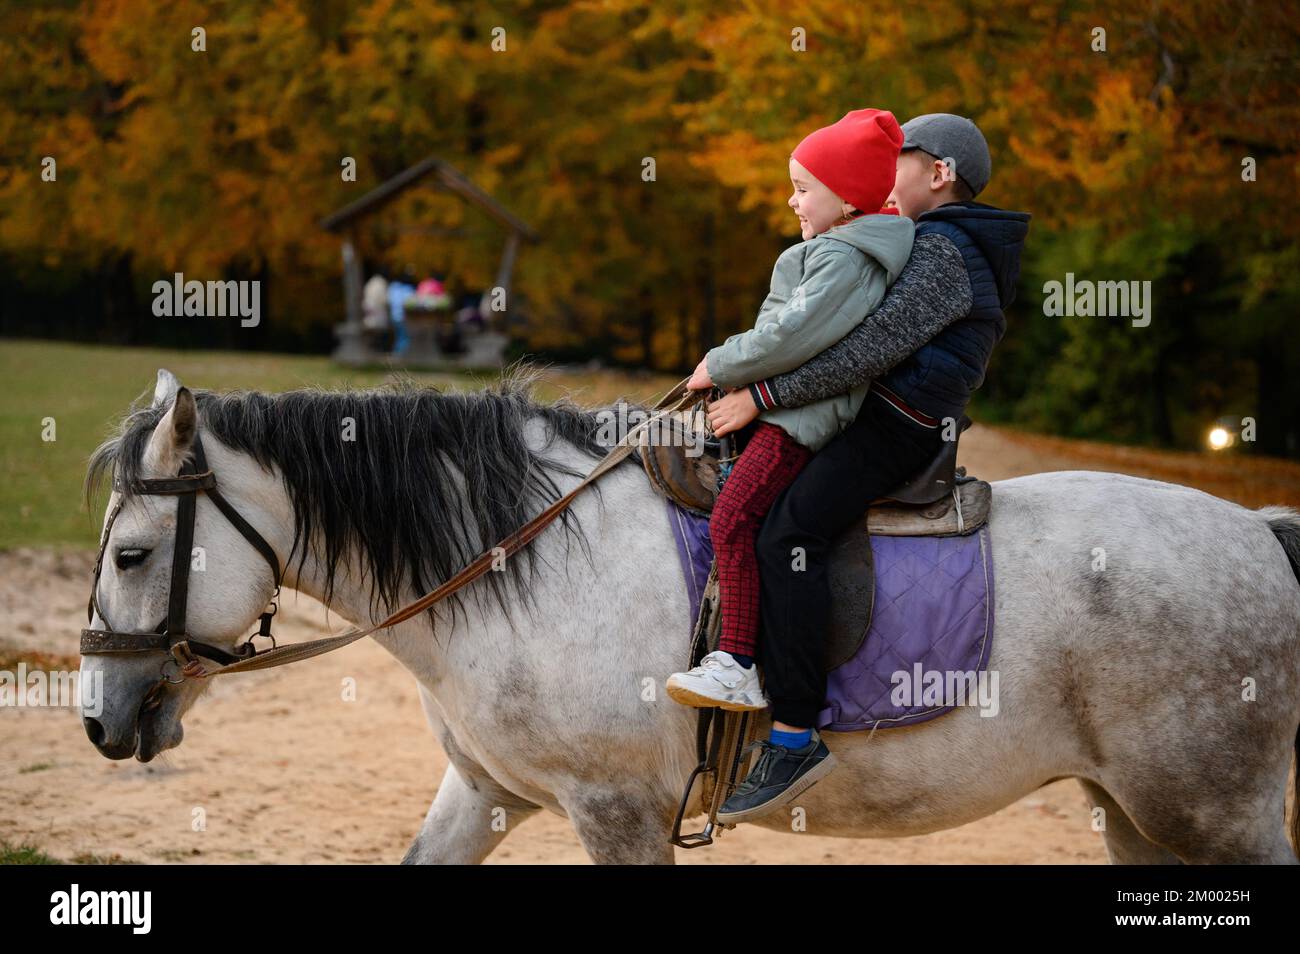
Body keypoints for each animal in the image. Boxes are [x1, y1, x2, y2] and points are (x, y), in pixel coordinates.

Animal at [79, 368, 1300, 864]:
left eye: (133, 554)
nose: (94, 718)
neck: (520, 561)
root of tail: (1259, 534)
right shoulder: (483, 794)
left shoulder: (618, 814)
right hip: (1136, 814)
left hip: (1214, 812)